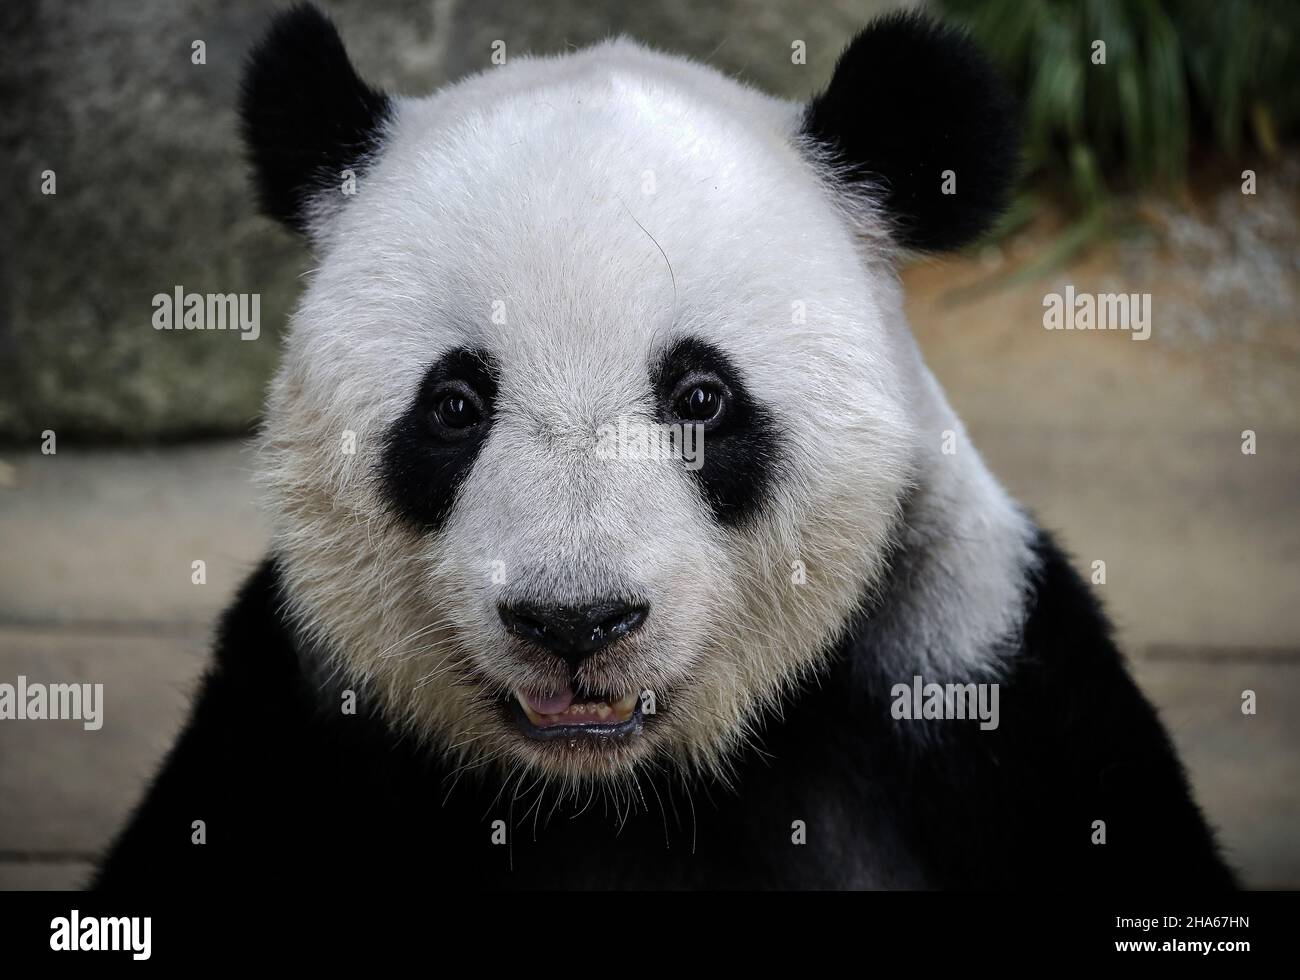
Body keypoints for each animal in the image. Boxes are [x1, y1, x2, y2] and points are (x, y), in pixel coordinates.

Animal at [97, 5, 1234, 890]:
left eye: (701, 397)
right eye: (454, 405)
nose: (574, 619)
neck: (615, 787)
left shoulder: (976, 696)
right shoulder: (297, 734)